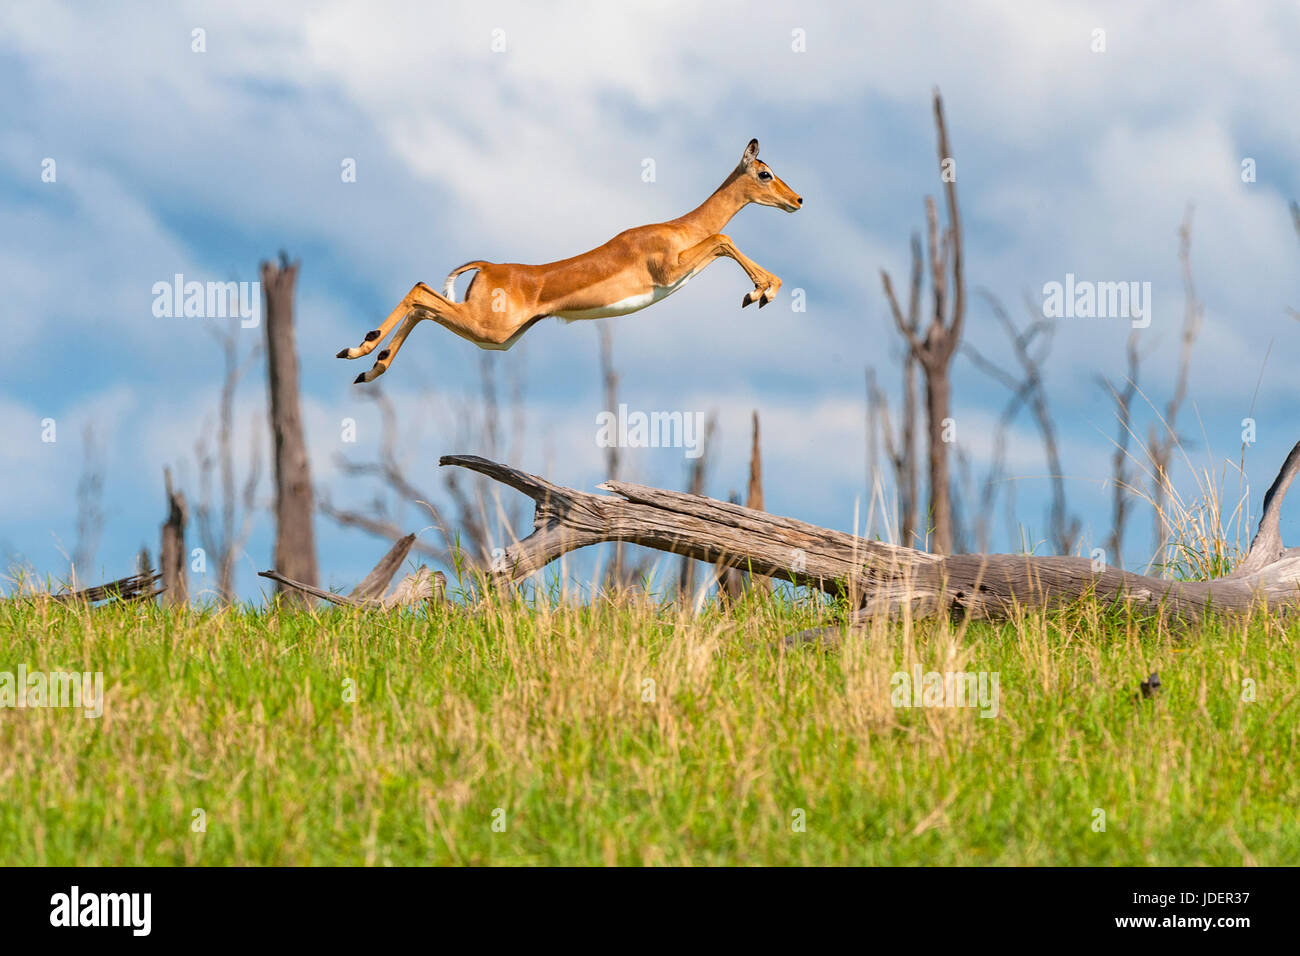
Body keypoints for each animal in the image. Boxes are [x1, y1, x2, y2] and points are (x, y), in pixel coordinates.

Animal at [338, 139, 802, 382]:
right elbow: (724, 238)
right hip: (488, 328)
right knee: (420, 293)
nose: (797, 200)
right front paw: (759, 293)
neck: (678, 228)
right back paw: (358, 351)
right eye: (764, 173)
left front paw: (762, 291)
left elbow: (724, 243)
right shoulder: (670, 269)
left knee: (425, 304)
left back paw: (370, 366)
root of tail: (487, 267)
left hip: (496, 337)